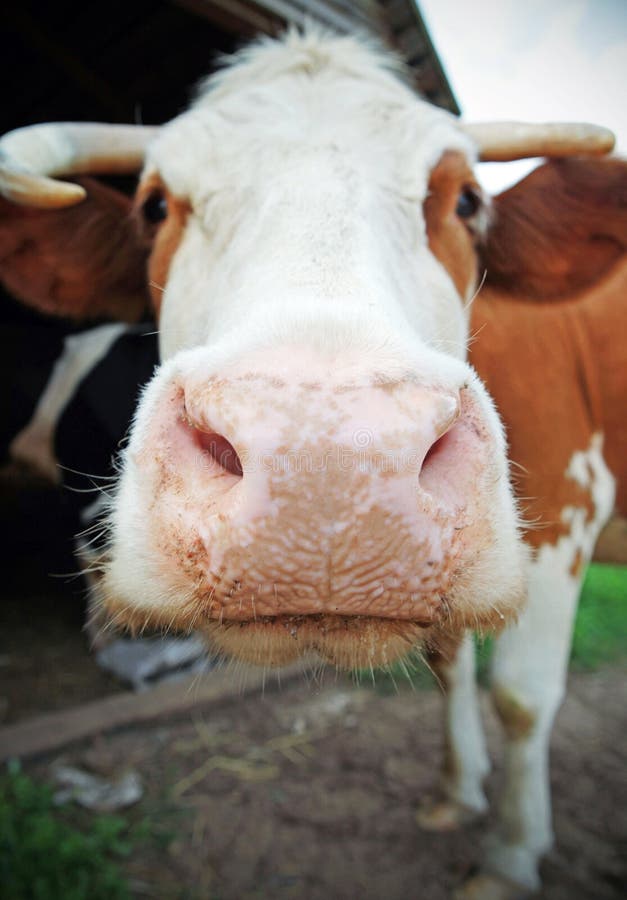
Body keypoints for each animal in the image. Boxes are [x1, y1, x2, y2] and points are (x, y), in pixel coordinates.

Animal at [0, 31, 622, 897]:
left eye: (466, 200)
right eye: (154, 205)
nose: (327, 465)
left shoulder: (569, 505)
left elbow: (521, 697)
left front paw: (506, 855)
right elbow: (452, 663)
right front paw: (453, 792)